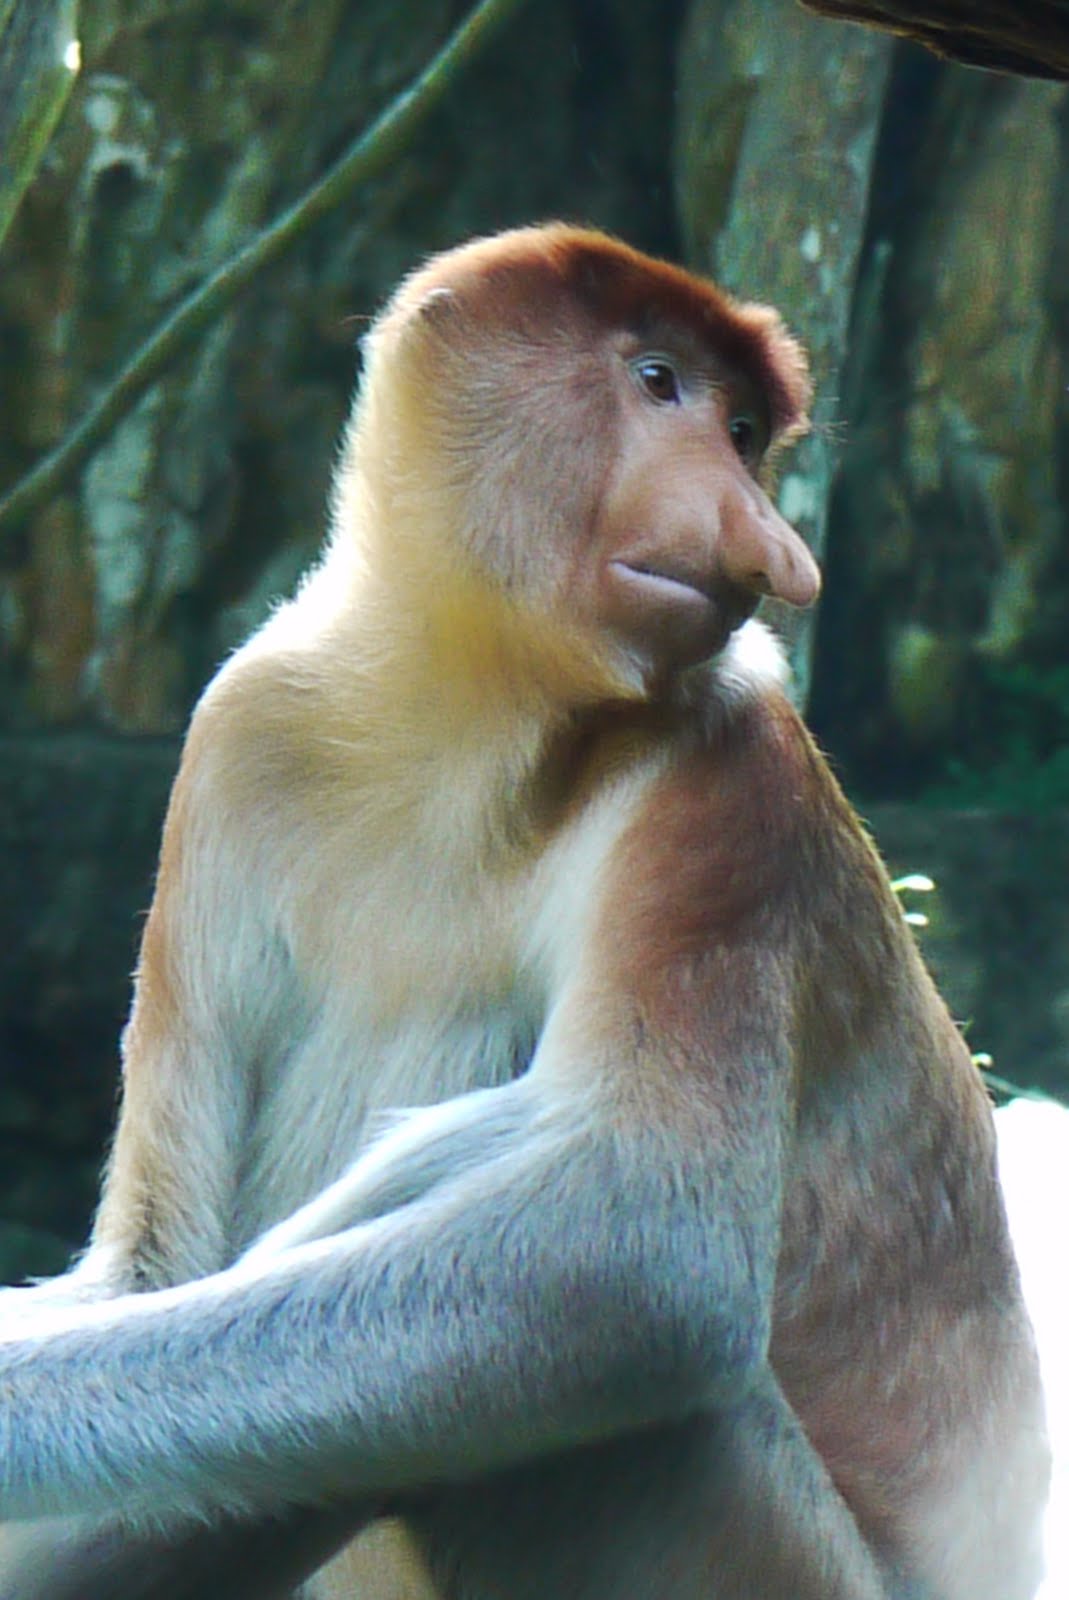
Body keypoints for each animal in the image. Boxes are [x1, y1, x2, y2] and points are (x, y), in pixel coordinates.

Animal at [0, 224, 1050, 1600]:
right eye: (657, 381)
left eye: (743, 428)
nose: (772, 550)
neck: (465, 710)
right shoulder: (242, 730)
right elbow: (157, 1255)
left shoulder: (731, 785)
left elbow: (637, 1250)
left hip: (752, 1554)